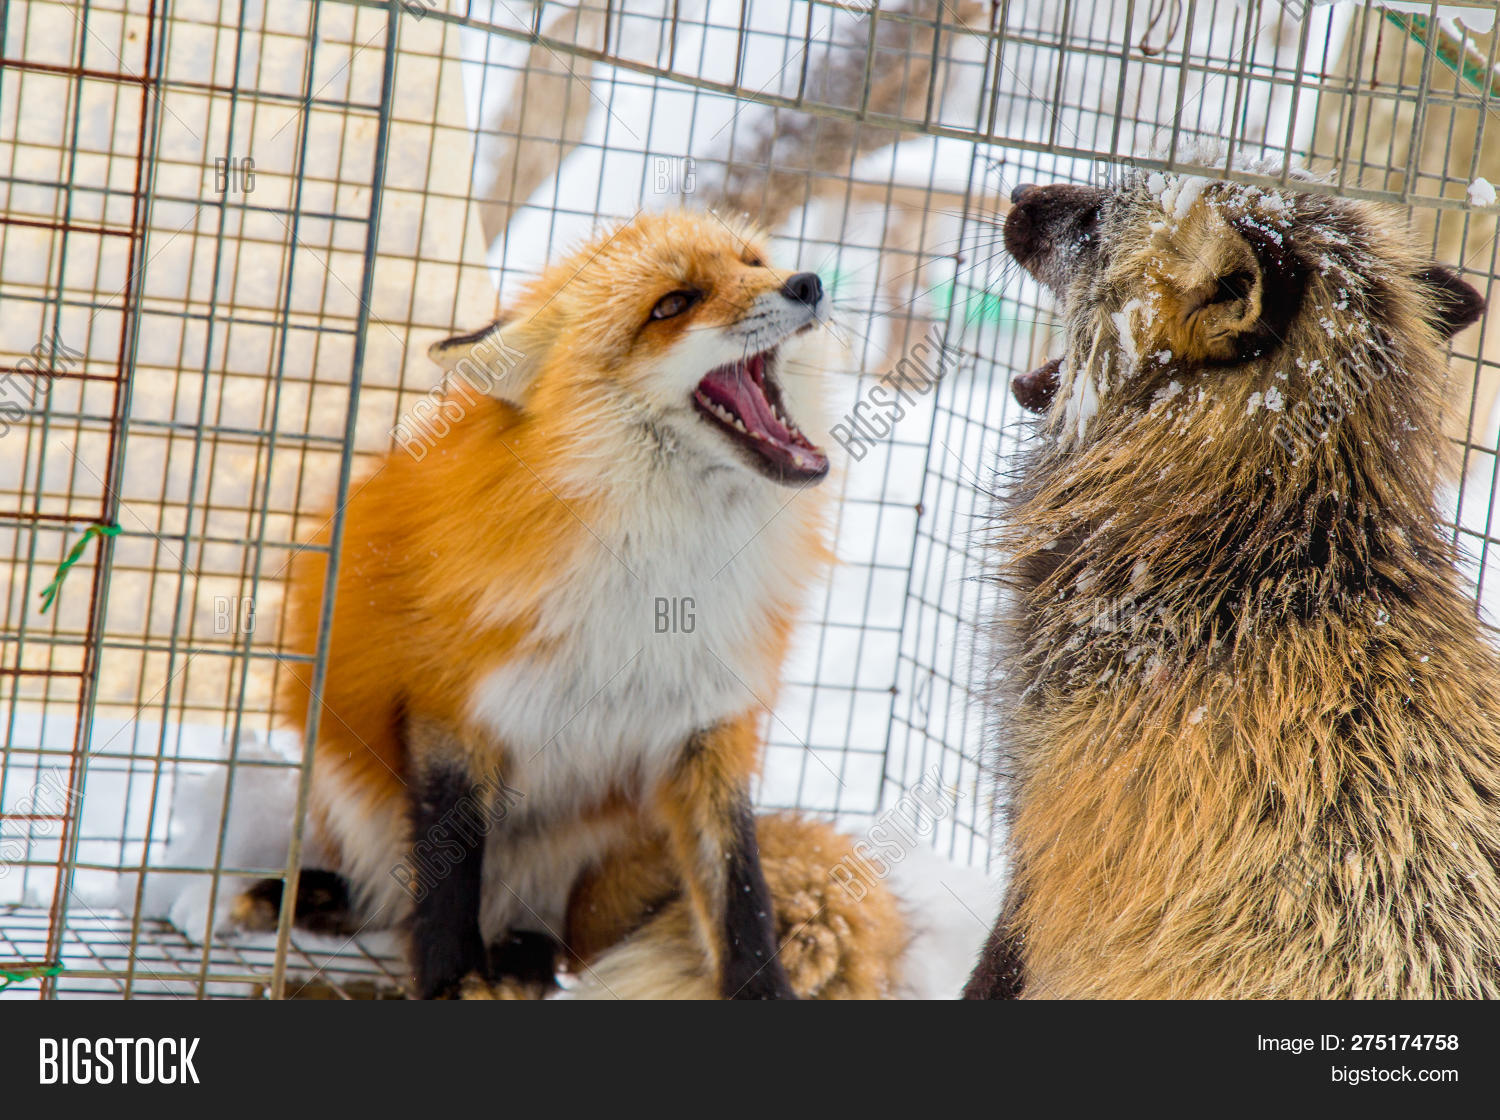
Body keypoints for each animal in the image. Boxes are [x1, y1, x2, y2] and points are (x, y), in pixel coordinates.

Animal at [235, 210, 854, 999]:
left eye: (751, 262)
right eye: (673, 304)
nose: (805, 283)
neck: (659, 570)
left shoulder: (707, 720)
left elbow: (742, 892)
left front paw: (763, 990)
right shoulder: (451, 702)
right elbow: (447, 870)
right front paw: (448, 982)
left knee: (558, 935)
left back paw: (523, 957)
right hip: (342, 773)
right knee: (392, 896)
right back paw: (317, 899)